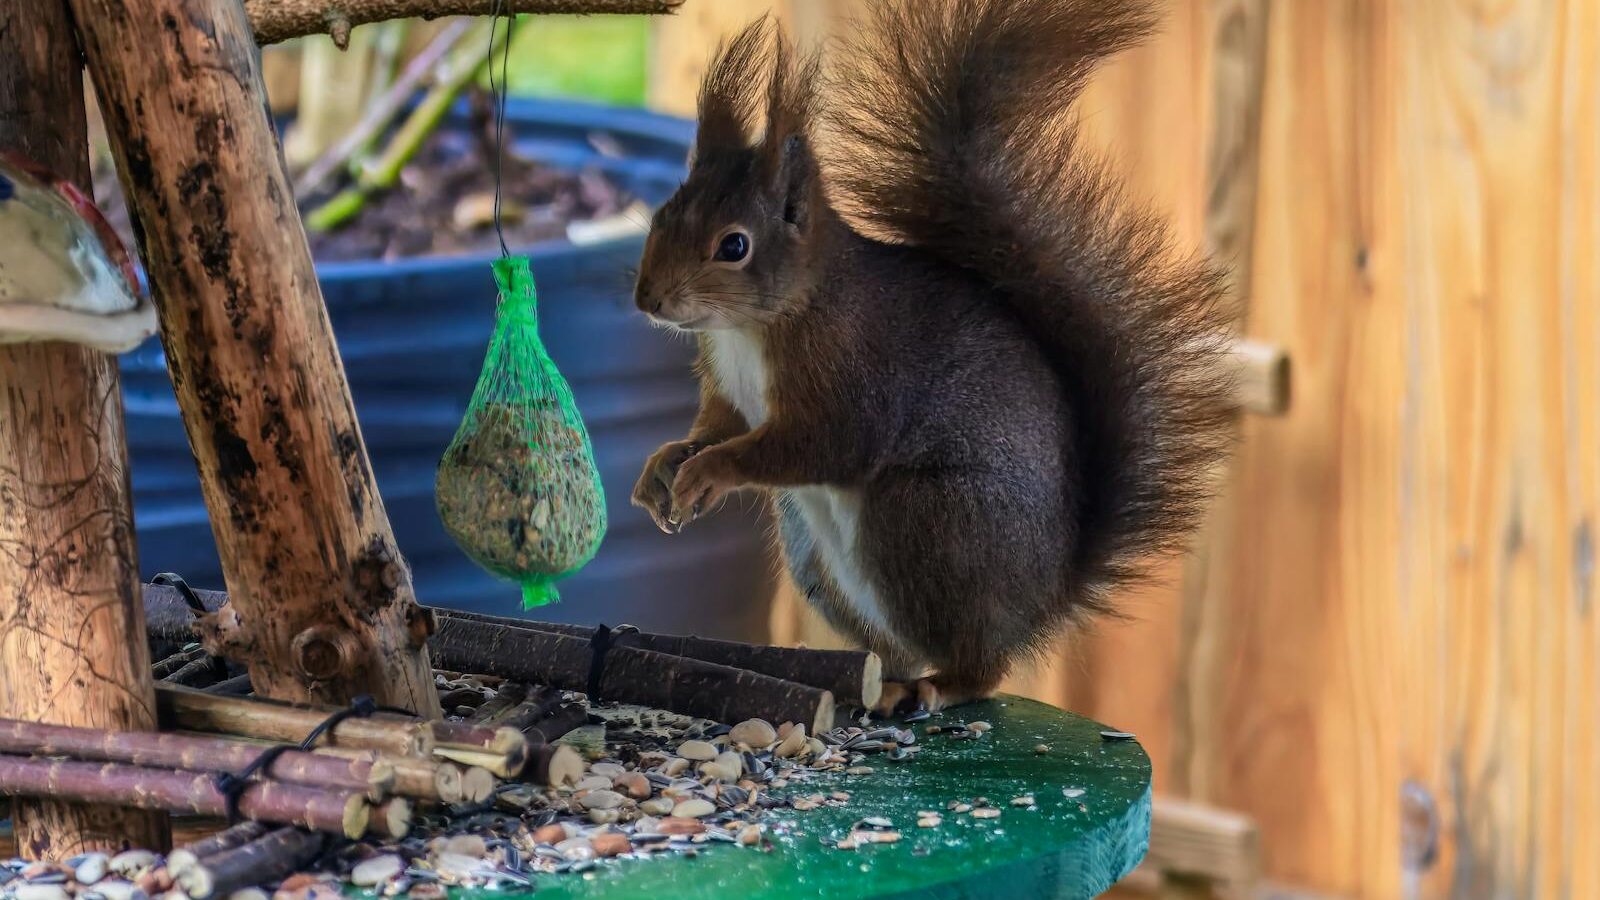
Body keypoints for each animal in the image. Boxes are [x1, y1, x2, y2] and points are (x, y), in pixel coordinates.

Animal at [630, 0, 1235, 713]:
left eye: (734, 246)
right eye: (661, 214)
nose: (648, 299)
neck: (750, 328)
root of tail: (1041, 603)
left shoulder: (850, 372)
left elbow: (817, 444)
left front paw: (709, 471)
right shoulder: (728, 385)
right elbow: (718, 425)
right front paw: (665, 466)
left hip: (926, 525)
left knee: (980, 667)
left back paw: (940, 686)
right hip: (816, 557)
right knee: (897, 648)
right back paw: (883, 685)